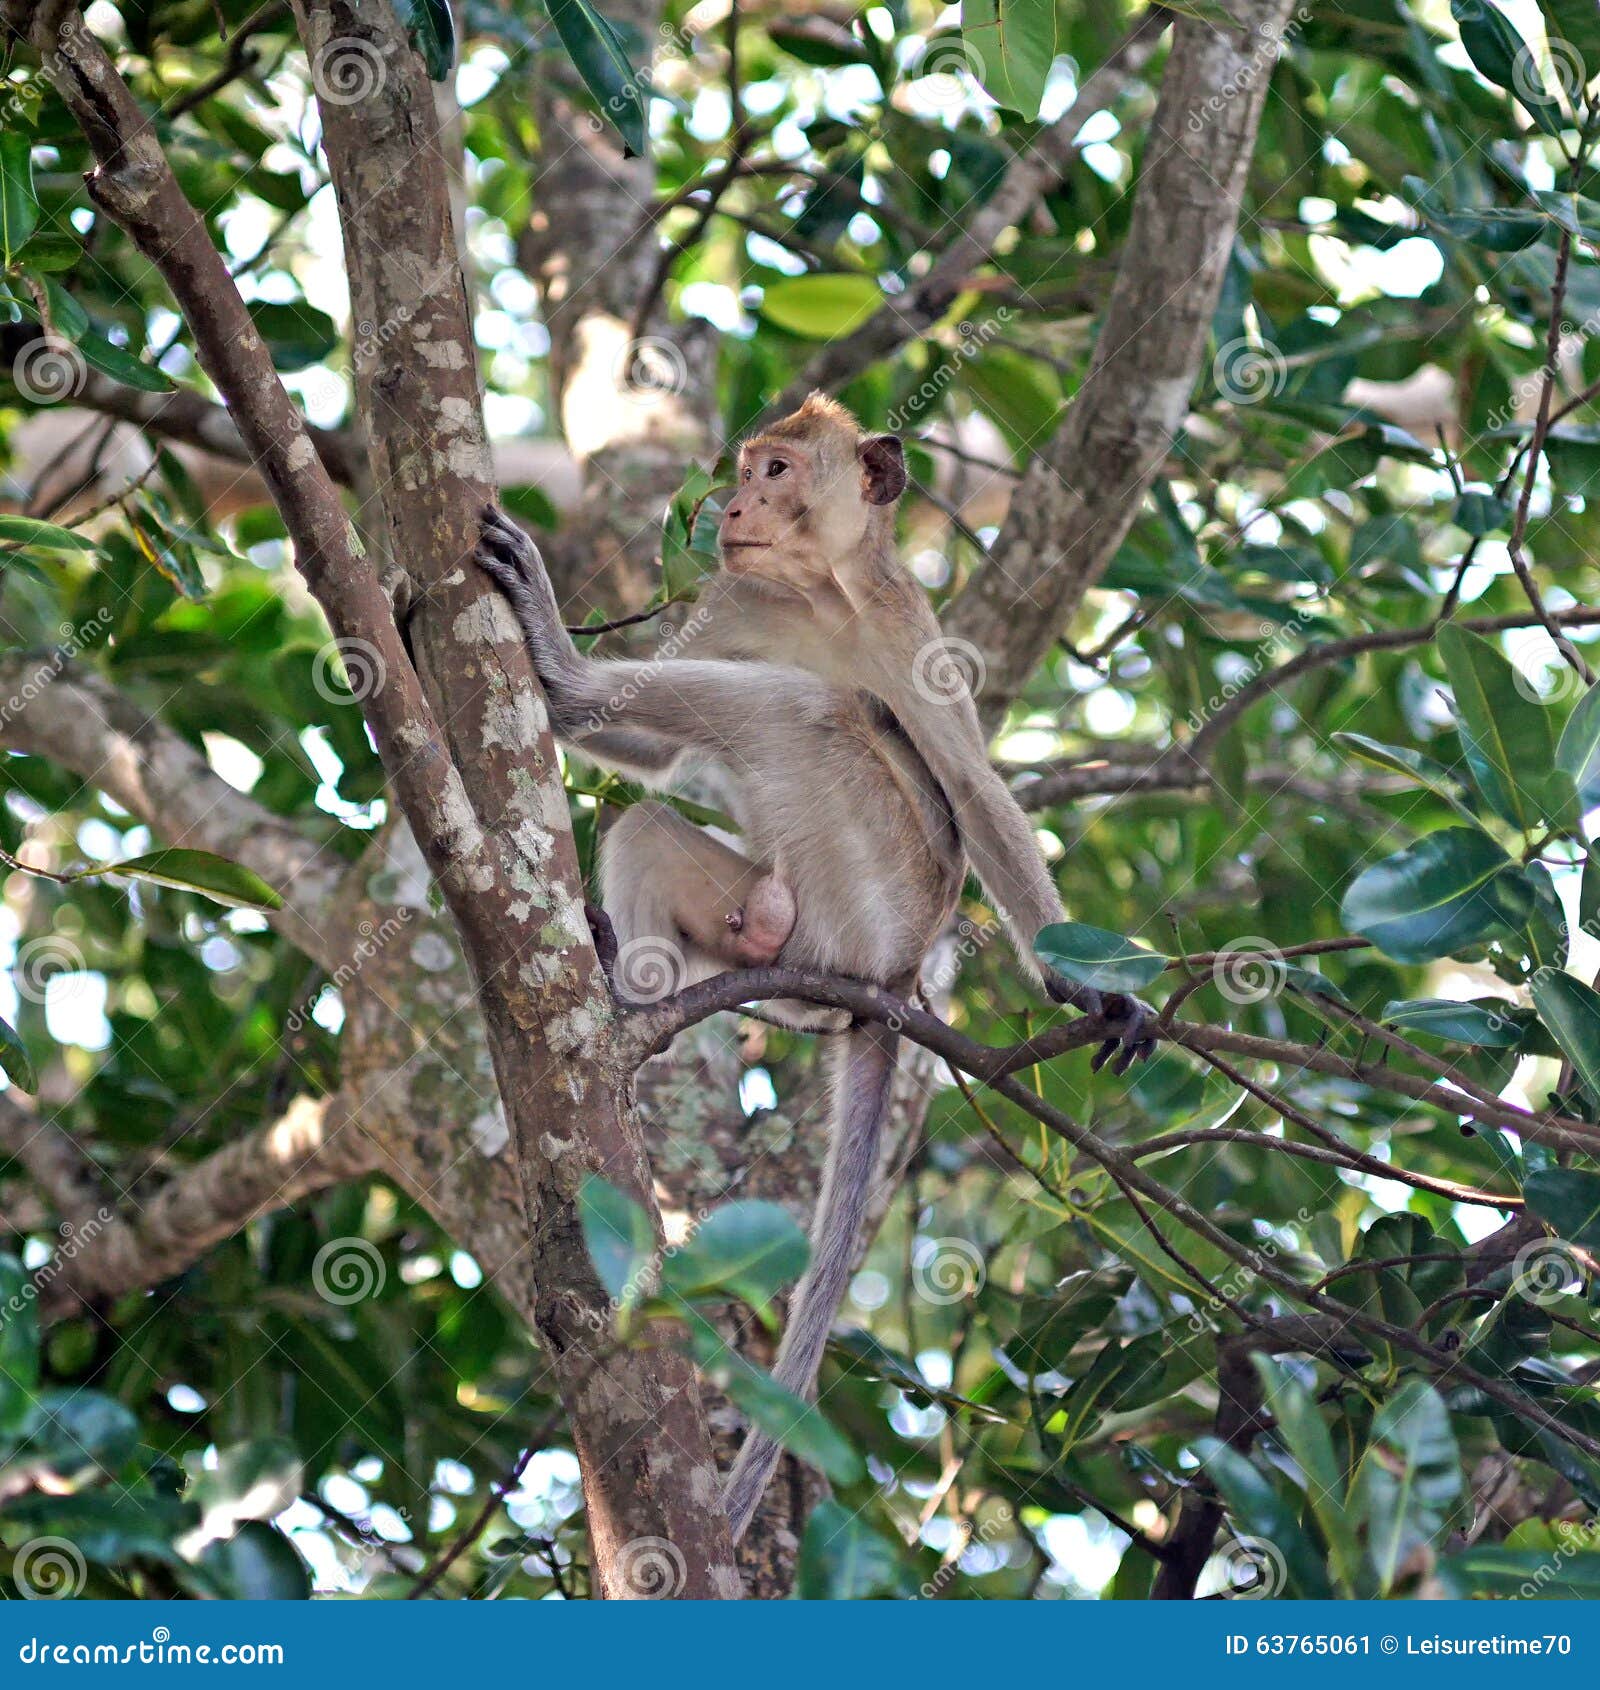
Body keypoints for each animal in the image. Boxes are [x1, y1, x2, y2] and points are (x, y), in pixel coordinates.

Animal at [474, 396, 1152, 1541]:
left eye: (779, 469)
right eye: (749, 468)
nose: (735, 505)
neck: (818, 593)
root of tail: (894, 983)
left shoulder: (904, 627)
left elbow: (972, 788)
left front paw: (1091, 987)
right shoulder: (738, 595)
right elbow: (650, 758)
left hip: (863, 897)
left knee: (808, 712)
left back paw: (565, 690)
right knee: (661, 816)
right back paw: (634, 981)